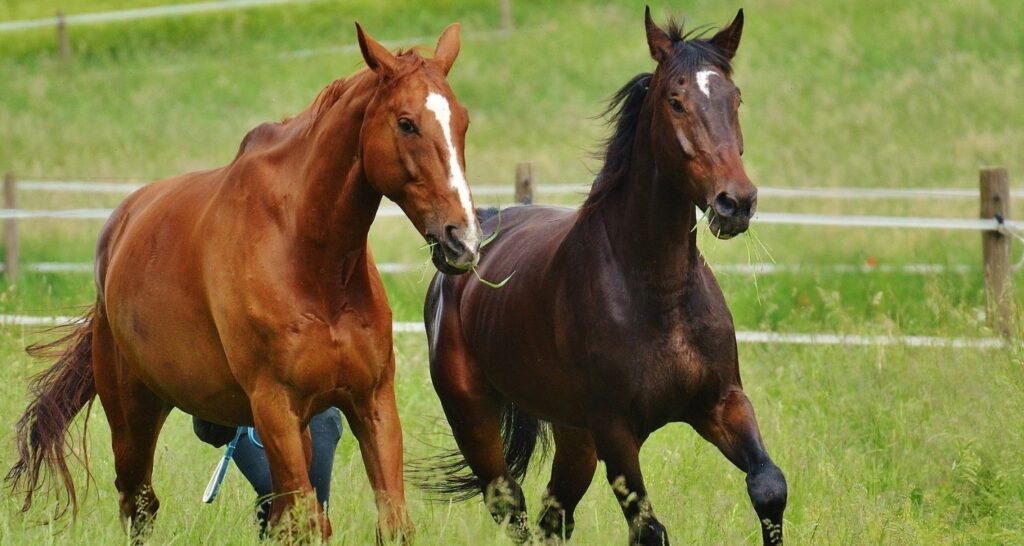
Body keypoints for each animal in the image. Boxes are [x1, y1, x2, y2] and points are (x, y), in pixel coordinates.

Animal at [6, 22, 481, 542]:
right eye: (406, 123)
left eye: (462, 123)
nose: (463, 239)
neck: (312, 261)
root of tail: (117, 233)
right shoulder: (274, 407)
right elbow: (307, 521)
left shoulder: (371, 403)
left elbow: (390, 521)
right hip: (135, 417)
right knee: (140, 504)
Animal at [419, 8, 787, 546]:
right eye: (675, 101)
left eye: (734, 98)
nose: (735, 203)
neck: (657, 290)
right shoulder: (615, 429)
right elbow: (649, 528)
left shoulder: (721, 404)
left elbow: (768, 486)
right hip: (475, 418)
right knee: (513, 507)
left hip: (576, 438)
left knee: (554, 516)